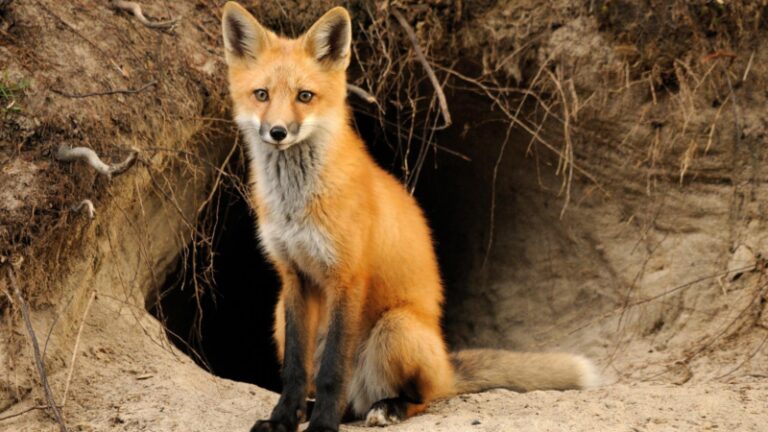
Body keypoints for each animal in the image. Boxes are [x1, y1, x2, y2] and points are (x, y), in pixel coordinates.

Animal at [221, 3, 596, 431]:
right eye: (261, 95)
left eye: (305, 96)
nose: (278, 132)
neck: (296, 204)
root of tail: (445, 365)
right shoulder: (294, 277)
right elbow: (296, 372)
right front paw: (284, 419)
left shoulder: (348, 277)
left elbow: (333, 370)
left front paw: (322, 425)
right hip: (280, 316)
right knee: (347, 396)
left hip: (396, 327)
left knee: (423, 397)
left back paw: (388, 407)